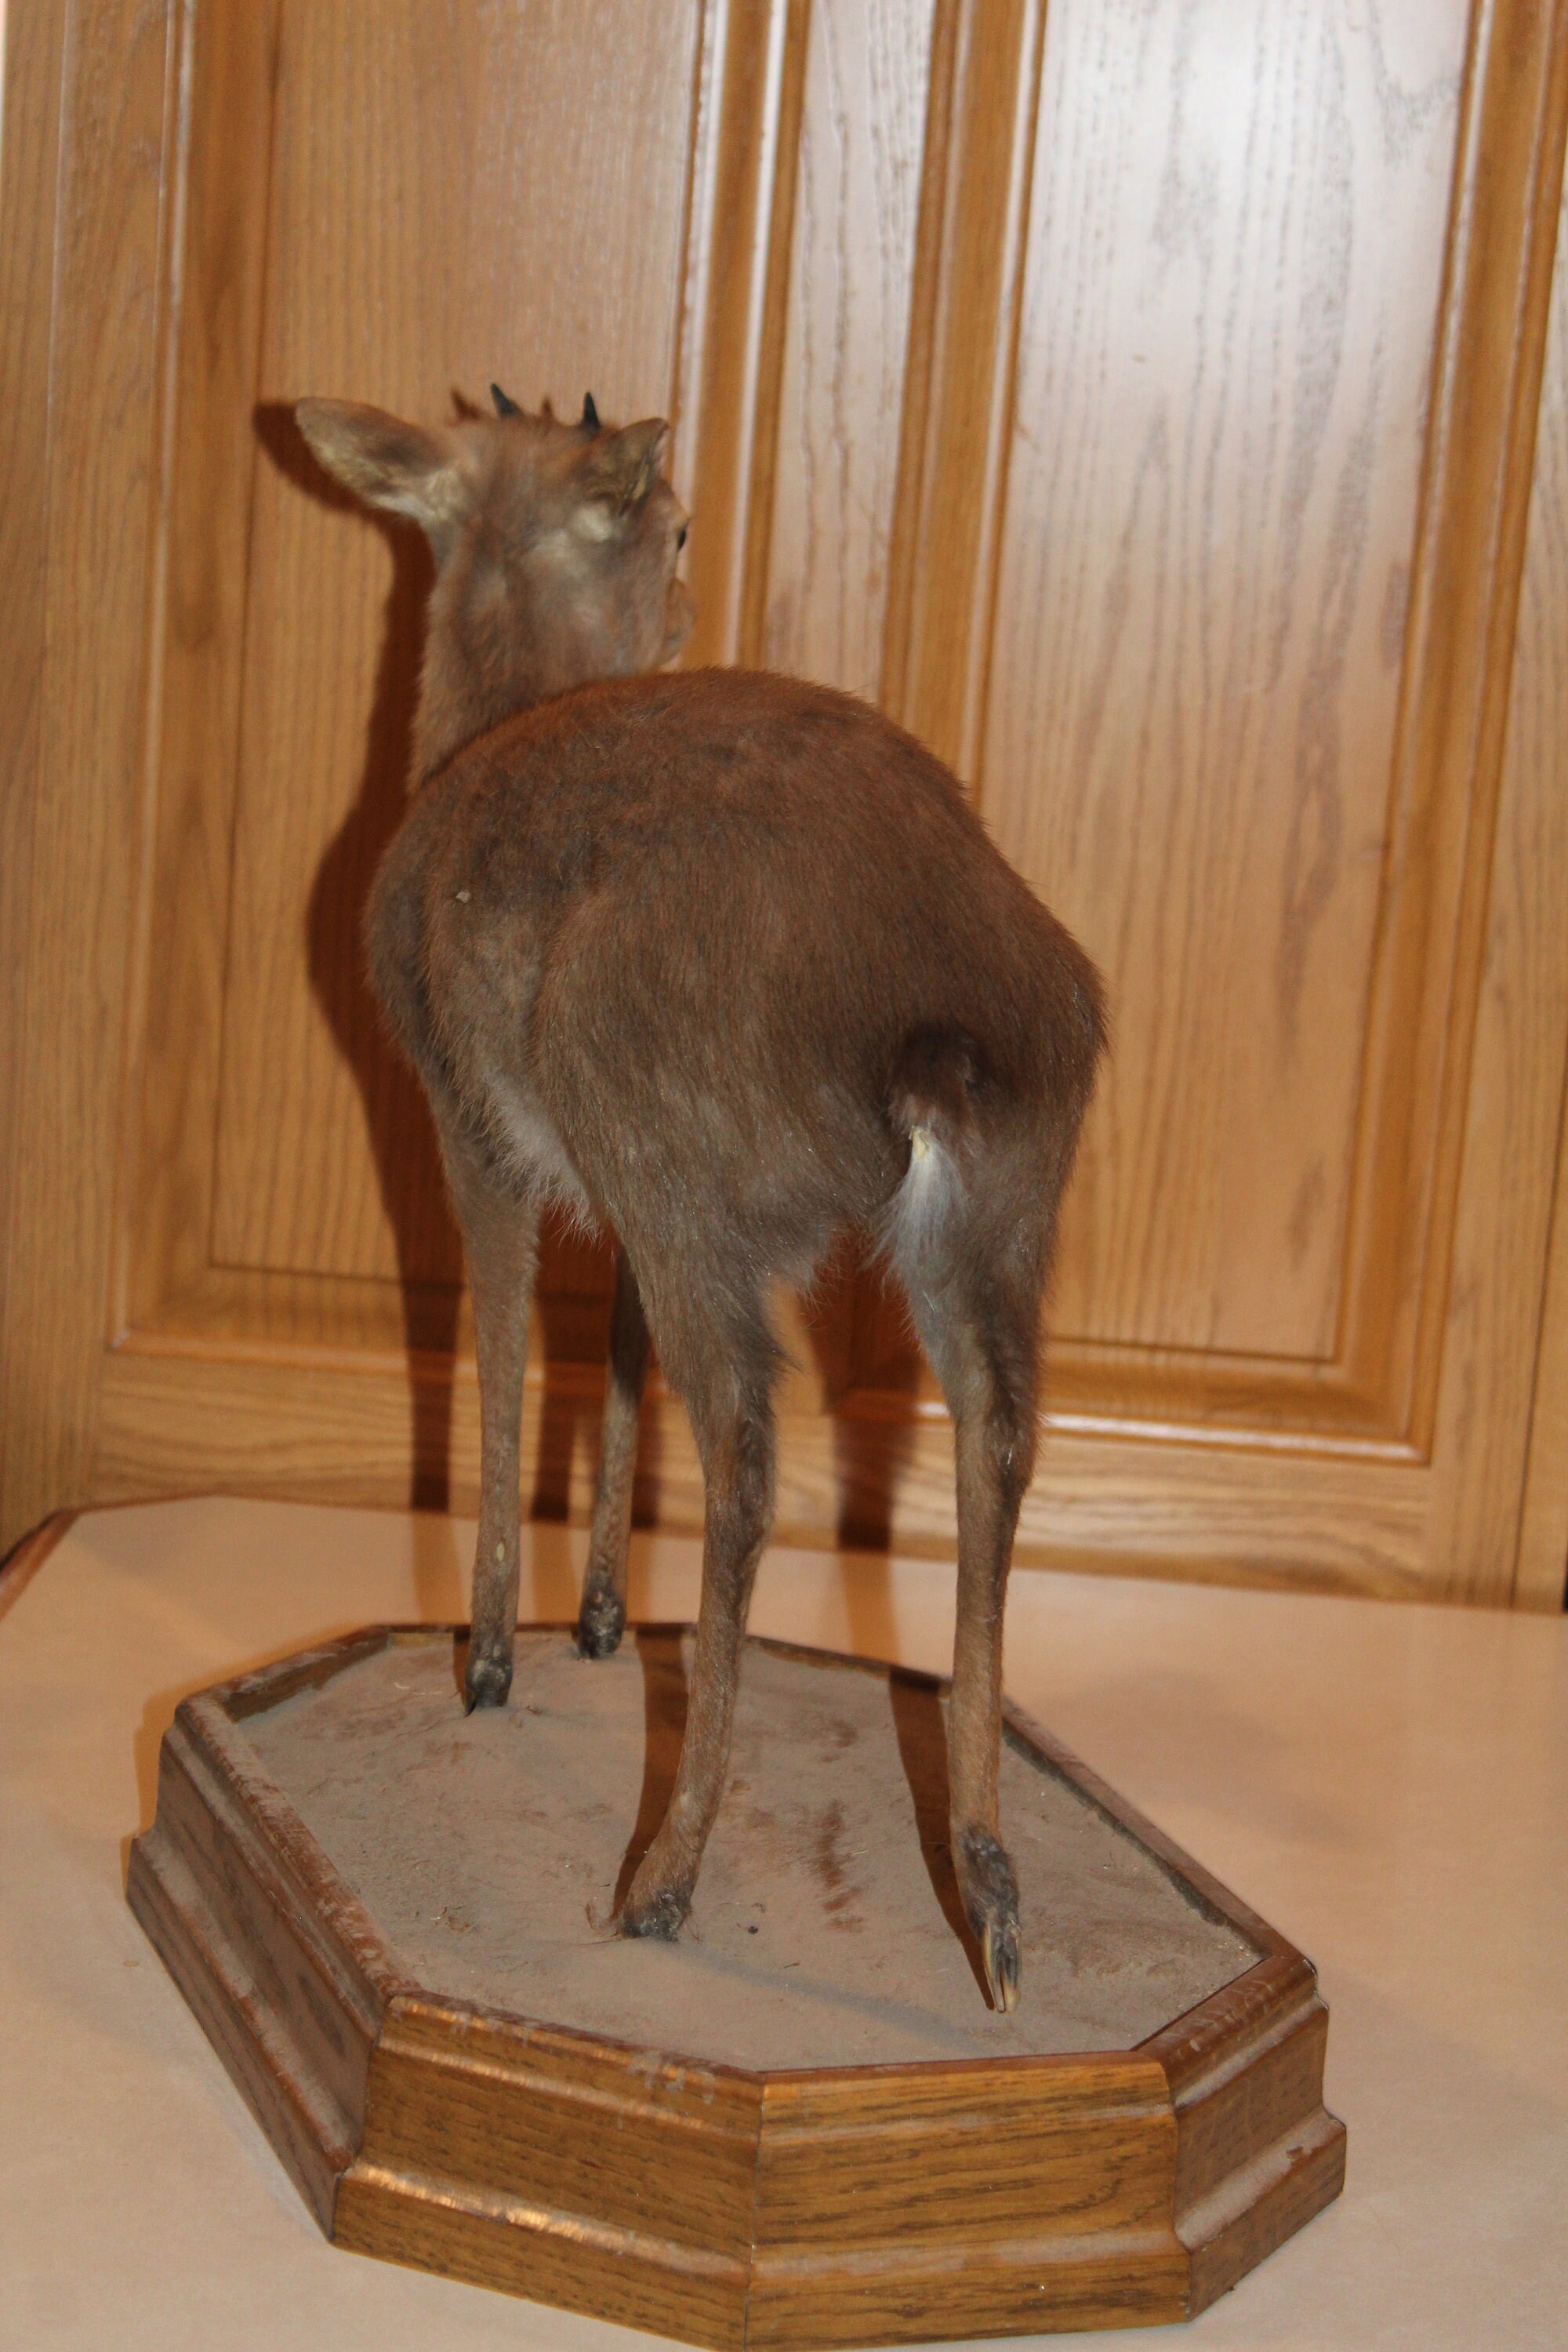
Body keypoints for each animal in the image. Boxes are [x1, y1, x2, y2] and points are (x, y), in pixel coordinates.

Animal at [295, 385, 1104, 2011]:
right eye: (672, 527)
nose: (679, 604)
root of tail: (933, 1005)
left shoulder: (470, 1123)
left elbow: (500, 1349)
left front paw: (492, 1659)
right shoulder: (604, 1204)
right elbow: (605, 1359)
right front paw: (604, 1622)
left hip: (680, 1166)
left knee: (743, 1451)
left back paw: (661, 1881)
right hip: (994, 1216)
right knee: (997, 1447)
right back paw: (992, 1905)